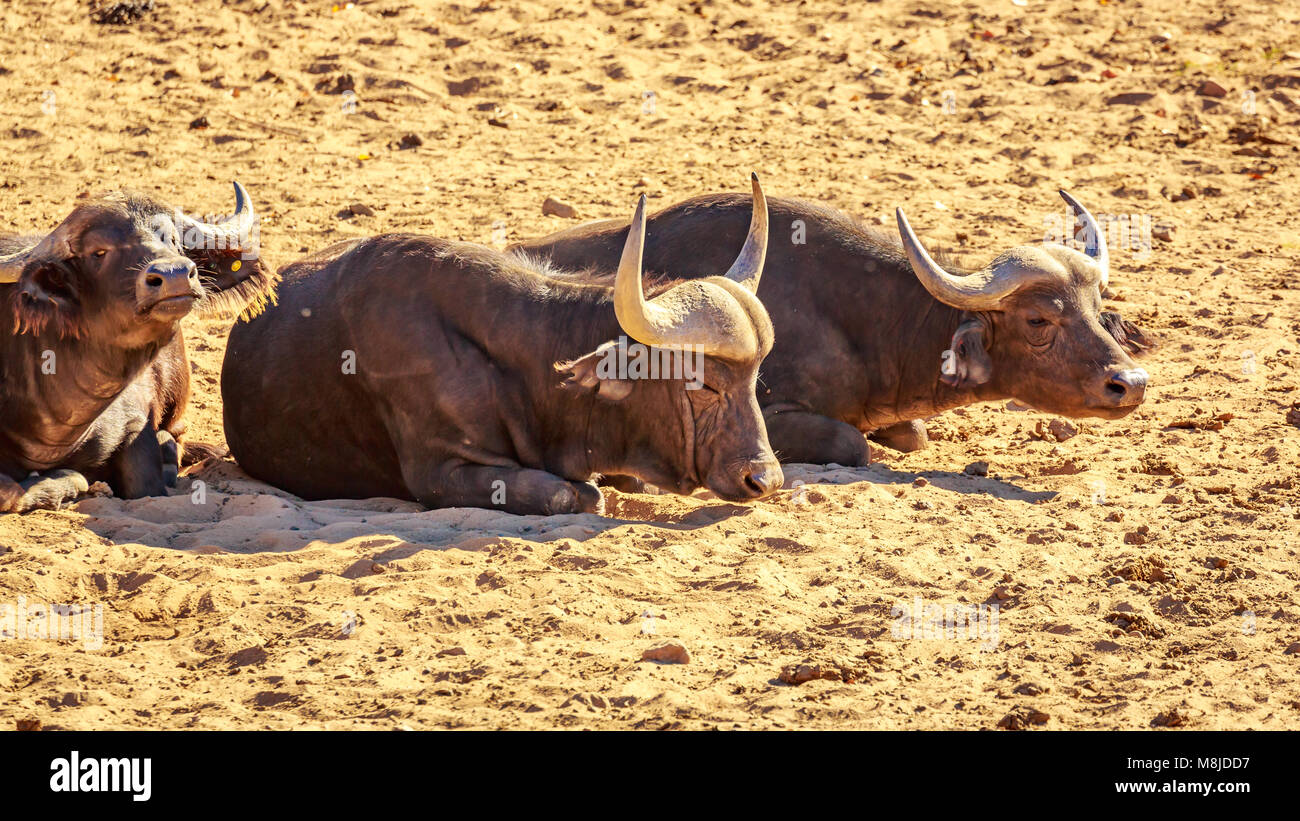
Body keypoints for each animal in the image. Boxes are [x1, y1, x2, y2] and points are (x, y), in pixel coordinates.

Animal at [0, 183, 274, 513]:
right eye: (99, 252)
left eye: (172, 239)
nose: (175, 275)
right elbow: (8, 490)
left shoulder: (137, 423)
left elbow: (144, 485)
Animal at [512, 189, 1151, 466]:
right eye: (1039, 318)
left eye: (1098, 308)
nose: (1131, 383)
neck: (861, 322)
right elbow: (852, 444)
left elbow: (913, 433)